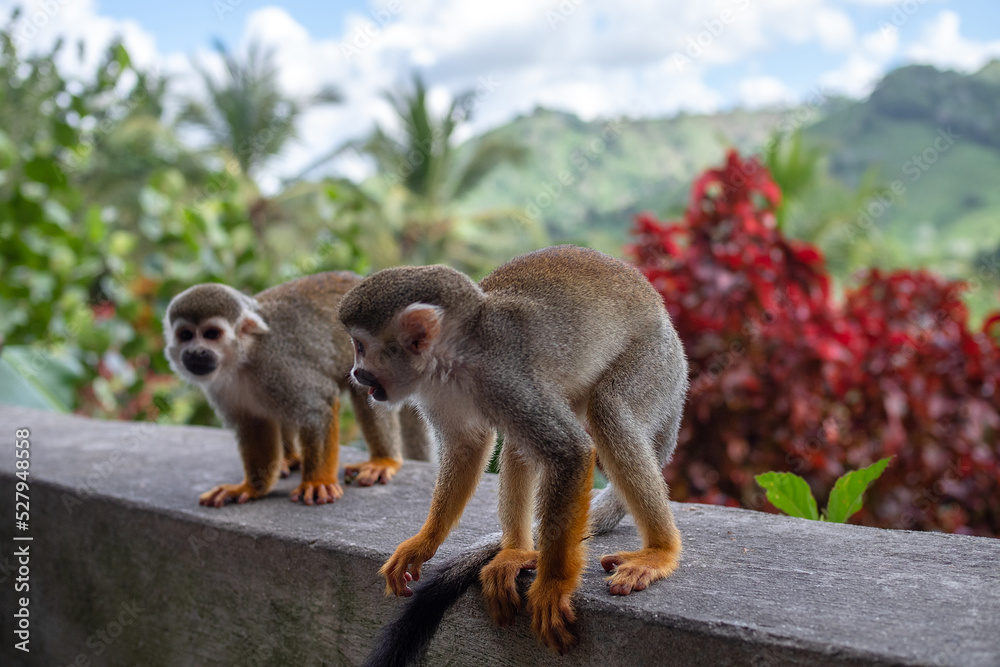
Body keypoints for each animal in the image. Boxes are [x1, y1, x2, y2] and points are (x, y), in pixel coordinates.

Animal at [163, 272, 433, 507]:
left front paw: (317, 482)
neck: (242, 359)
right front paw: (250, 488)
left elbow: (317, 407)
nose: (195, 353)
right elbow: (254, 424)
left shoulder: (277, 365)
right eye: (186, 335)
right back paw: (290, 458)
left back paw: (383, 459)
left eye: (211, 334)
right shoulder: (221, 387)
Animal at [339, 245, 688, 655]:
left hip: (654, 362)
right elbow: (467, 447)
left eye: (361, 347)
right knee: (524, 442)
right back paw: (517, 553)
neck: (457, 358)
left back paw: (660, 552)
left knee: (609, 410)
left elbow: (570, 452)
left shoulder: (502, 377)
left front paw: (553, 586)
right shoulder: (436, 388)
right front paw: (425, 542)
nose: (356, 373)